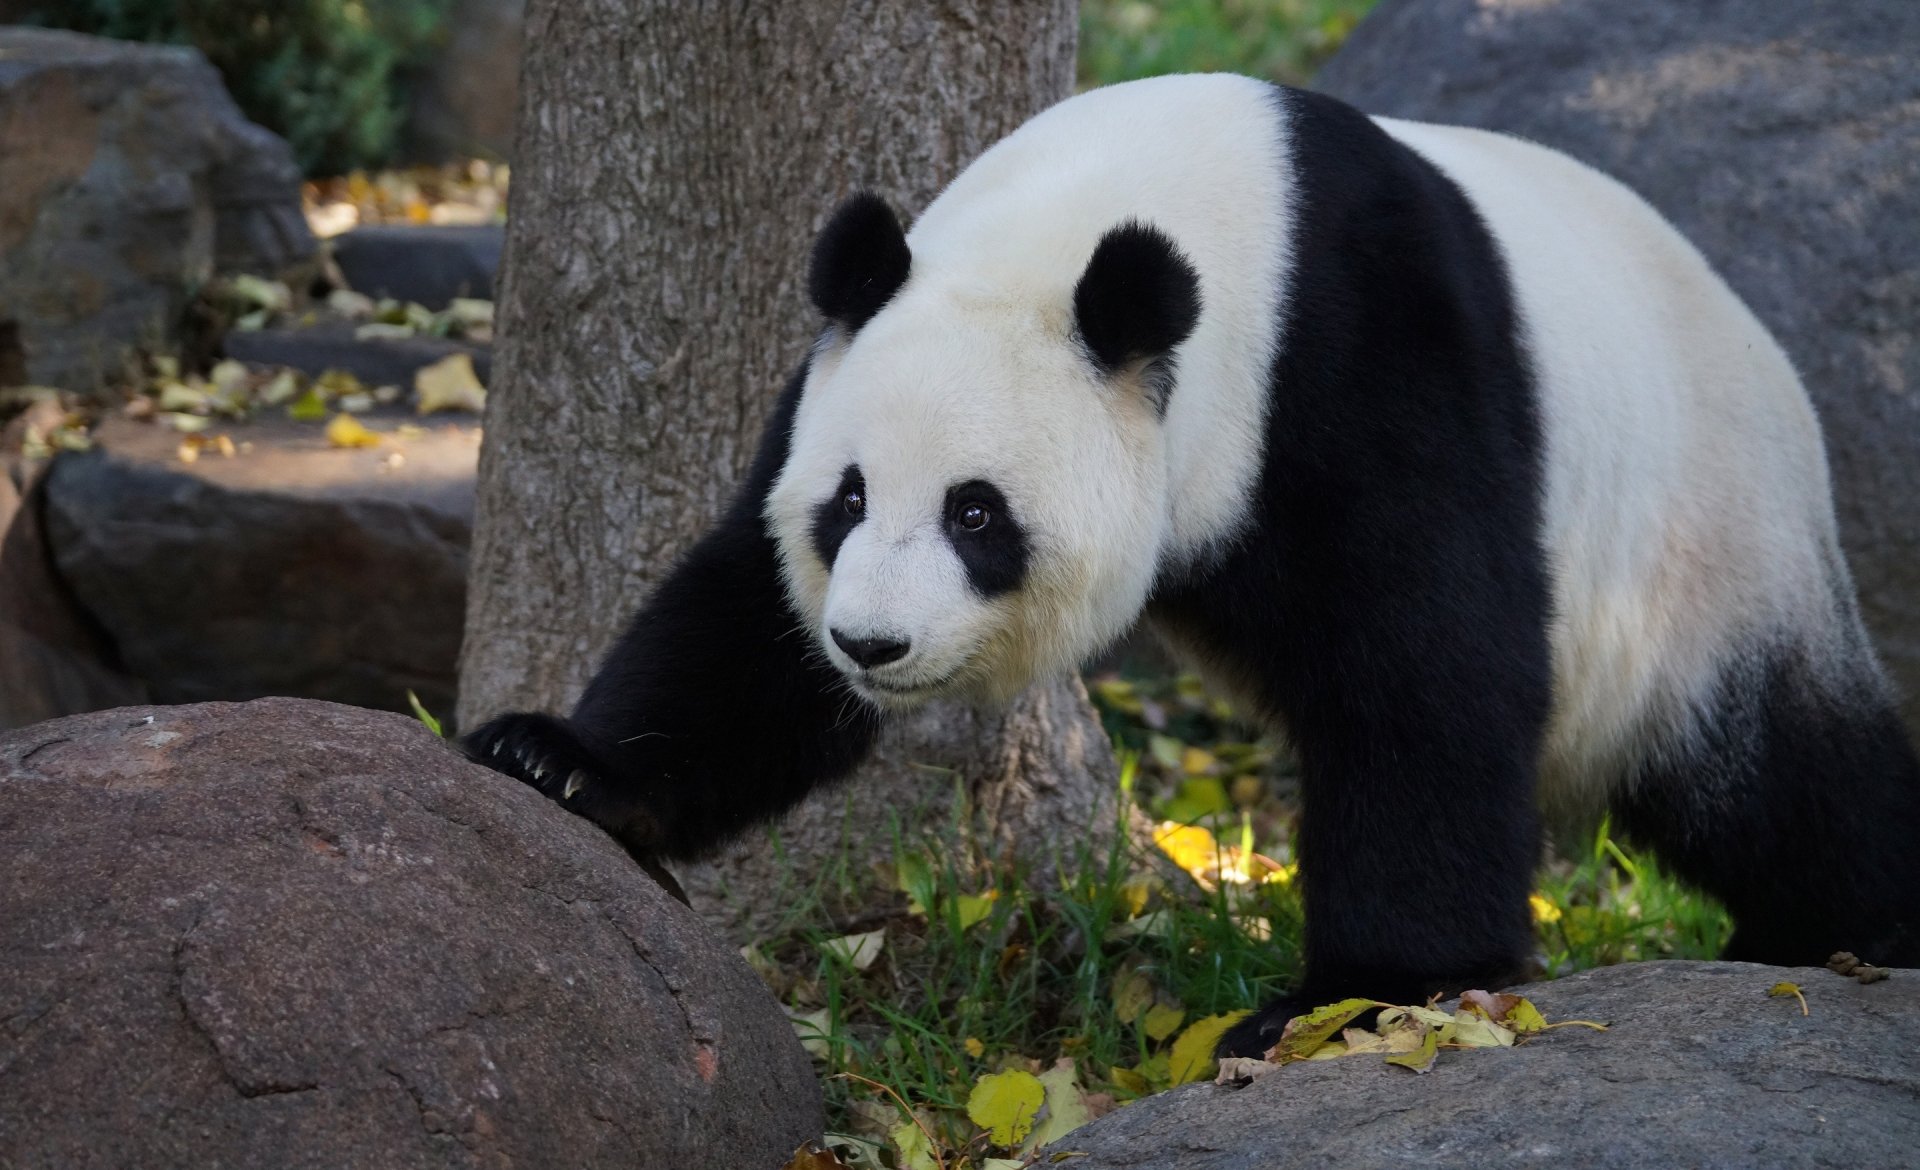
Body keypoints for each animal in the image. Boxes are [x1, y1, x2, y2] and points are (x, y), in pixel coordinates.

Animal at [465, 73, 1920, 1057]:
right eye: (851, 500)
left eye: (979, 514)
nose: (870, 647)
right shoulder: (846, 355)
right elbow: (744, 621)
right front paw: (563, 762)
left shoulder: (1369, 352)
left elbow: (1426, 672)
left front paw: (1361, 996)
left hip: (1708, 549)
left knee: (1784, 771)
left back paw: (1850, 923)